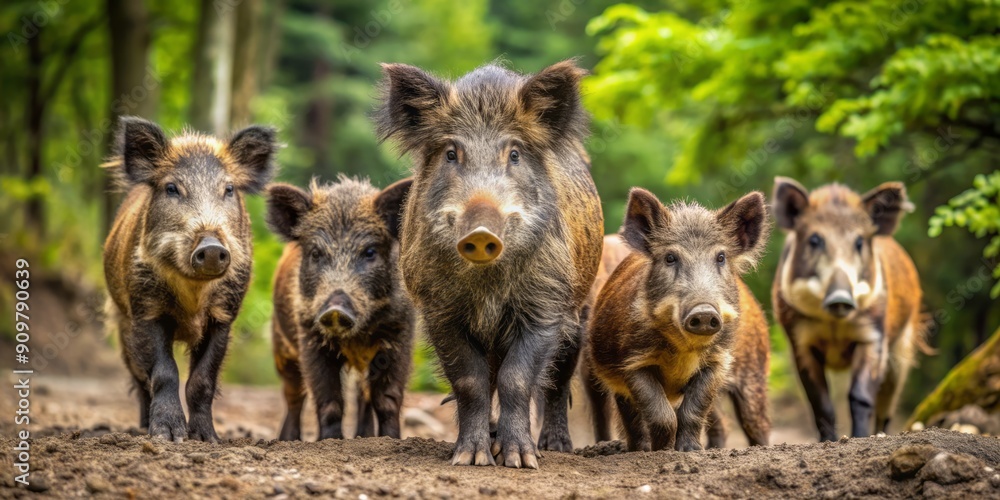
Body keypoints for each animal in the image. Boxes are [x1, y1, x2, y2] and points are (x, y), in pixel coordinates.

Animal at [103, 116, 277, 442]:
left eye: (229, 189)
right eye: (172, 188)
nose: (211, 247)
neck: (193, 297)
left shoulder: (223, 317)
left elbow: (203, 380)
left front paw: (207, 438)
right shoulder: (145, 310)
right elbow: (165, 372)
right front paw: (168, 437)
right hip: (120, 321)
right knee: (139, 377)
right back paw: (143, 427)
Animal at [266, 176, 414, 441]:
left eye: (369, 252)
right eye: (316, 253)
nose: (335, 309)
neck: (356, 338)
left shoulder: (400, 333)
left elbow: (387, 400)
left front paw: (390, 440)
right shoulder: (309, 335)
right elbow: (328, 399)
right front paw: (330, 441)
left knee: (363, 395)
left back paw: (363, 437)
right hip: (280, 345)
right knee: (294, 395)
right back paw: (288, 439)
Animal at [374, 60, 604, 468]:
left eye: (514, 154)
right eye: (451, 153)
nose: (481, 230)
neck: (488, 288)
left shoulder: (546, 303)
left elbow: (518, 378)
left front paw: (521, 462)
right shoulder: (439, 310)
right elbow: (471, 381)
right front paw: (470, 459)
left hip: (580, 308)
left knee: (558, 379)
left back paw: (555, 447)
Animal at [587, 188, 770, 452]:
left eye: (721, 257)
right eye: (670, 257)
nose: (703, 311)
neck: (685, 349)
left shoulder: (718, 362)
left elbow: (693, 410)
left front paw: (690, 451)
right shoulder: (631, 362)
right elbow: (660, 413)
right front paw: (662, 451)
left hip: (755, 372)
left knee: (754, 423)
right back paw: (637, 449)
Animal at [772, 177, 929, 441]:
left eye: (859, 242)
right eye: (815, 239)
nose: (840, 298)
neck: (834, 325)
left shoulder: (874, 335)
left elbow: (860, 396)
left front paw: (860, 437)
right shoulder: (800, 341)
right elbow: (821, 403)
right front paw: (828, 441)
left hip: (902, 347)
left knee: (887, 403)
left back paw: (880, 434)